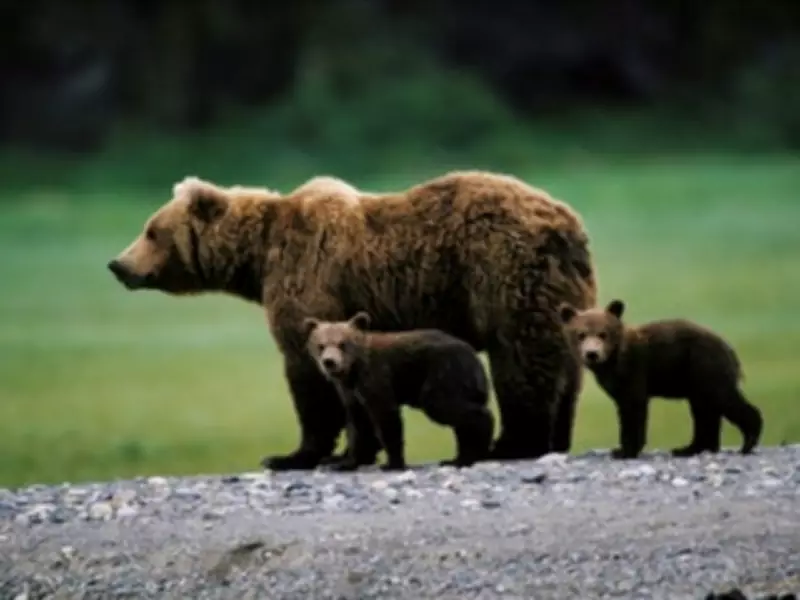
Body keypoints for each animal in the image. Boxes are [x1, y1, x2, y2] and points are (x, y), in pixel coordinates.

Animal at [303, 311, 495, 471]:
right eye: (320, 345)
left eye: (343, 344)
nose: (330, 362)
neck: (352, 371)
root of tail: (475, 358)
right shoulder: (351, 394)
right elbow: (358, 426)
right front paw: (346, 463)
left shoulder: (376, 378)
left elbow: (387, 418)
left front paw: (392, 463)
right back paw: (456, 458)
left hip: (444, 373)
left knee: (446, 406)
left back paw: (470, 454)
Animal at [559, 298, 763, 459]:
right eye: (581, 334)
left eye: (603, 333)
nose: (592, 353)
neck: (612, 362)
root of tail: (729, 347)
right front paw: (621, 449)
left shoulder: (634, 371)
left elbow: (633, 409)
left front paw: (623, 451)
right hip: (697, 379)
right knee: (704, 411)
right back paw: (688, 448)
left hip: (705, 367)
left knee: (724, 399)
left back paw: (748, 441)